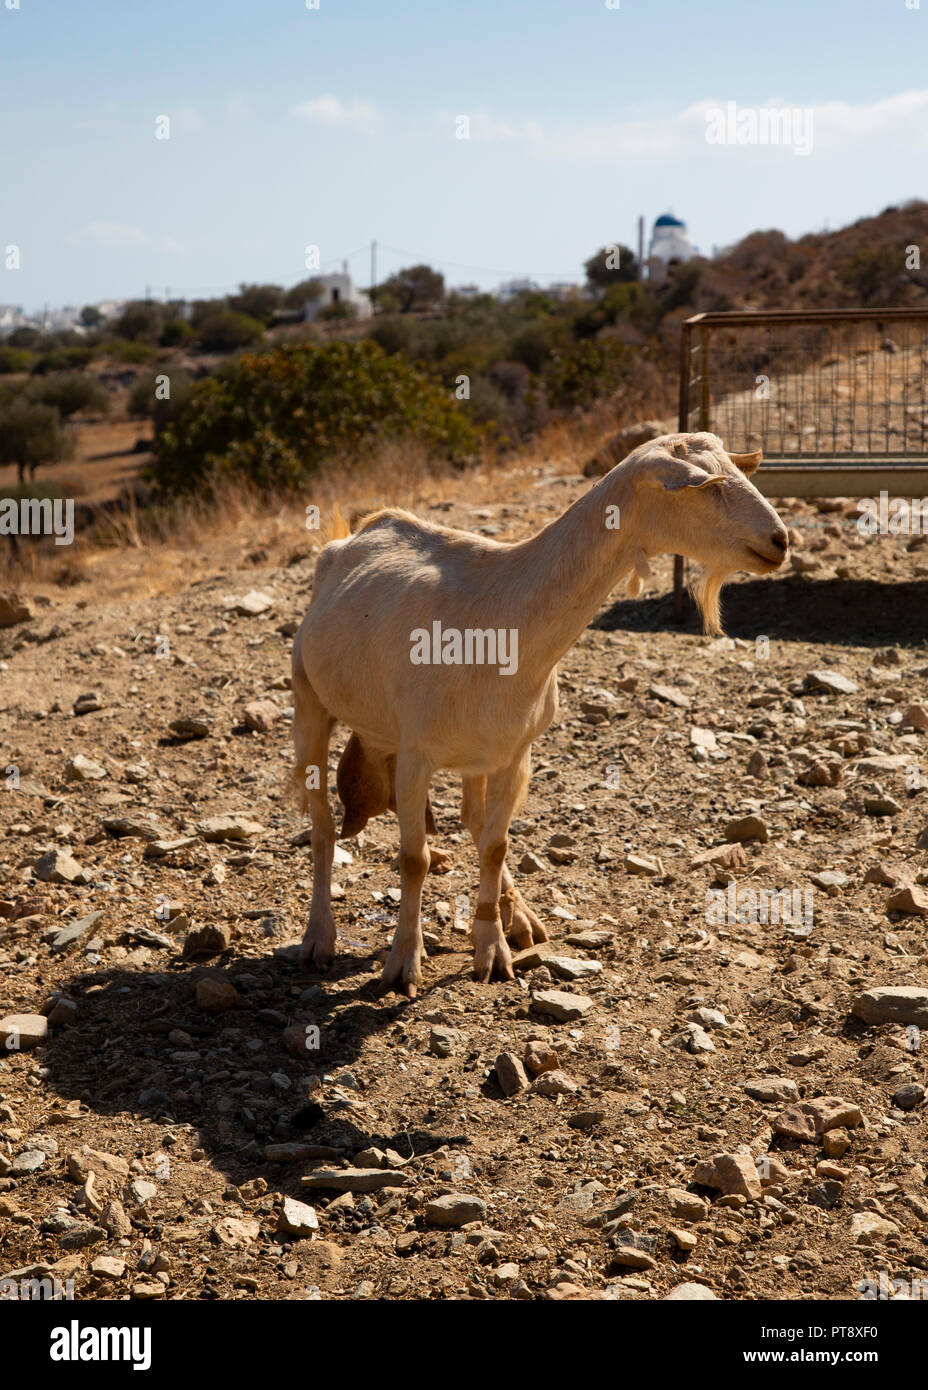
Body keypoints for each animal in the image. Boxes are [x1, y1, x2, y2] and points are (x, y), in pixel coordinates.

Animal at [291, 431, 788, 996]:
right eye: (710, 487)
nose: (780, 541)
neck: (502, 622)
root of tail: (350, 538)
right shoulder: (417, 753)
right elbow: (414, 859)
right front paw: (403, 964)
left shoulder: (515, 753)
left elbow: (495, 845)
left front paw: (493, 951)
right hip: (309, 700)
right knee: (323, 824)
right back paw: (318, 939)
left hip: (466, 750)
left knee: (472, 819)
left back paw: (519, 918)